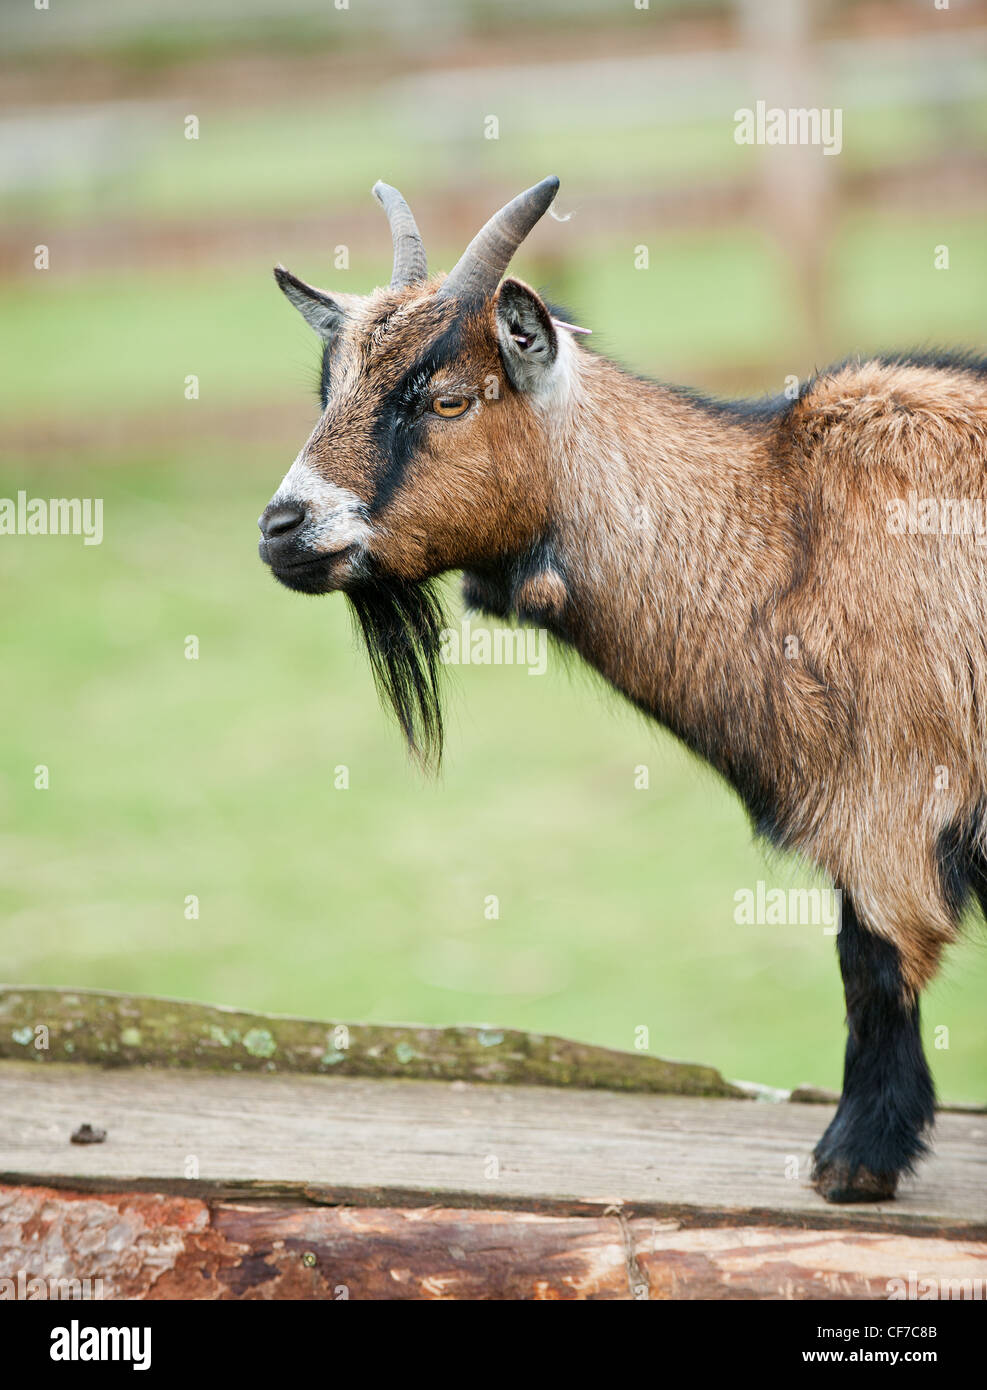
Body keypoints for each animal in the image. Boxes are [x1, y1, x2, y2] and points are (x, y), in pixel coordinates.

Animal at [259, 177, 987, 1205]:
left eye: (446, 399)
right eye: (331, 390)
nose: (282, 528)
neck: (786, 530)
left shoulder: (890, 794)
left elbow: (870, 963)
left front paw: (854, 1158)